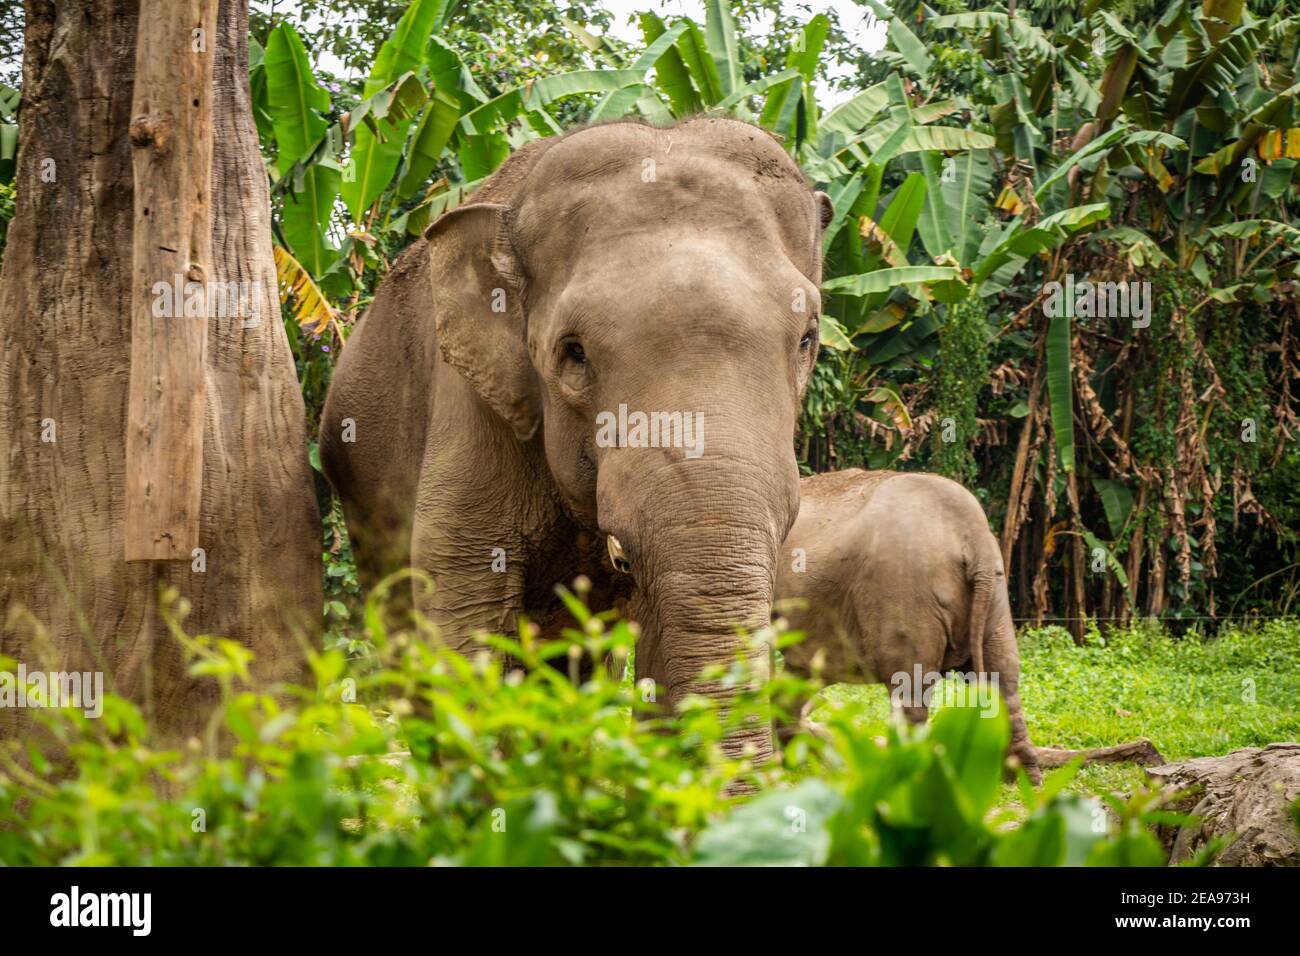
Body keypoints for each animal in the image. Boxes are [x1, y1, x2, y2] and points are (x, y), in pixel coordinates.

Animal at [776, 469, 1042, 783]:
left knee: (910, 687)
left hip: (905, 594)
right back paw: (1026, 780)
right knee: (1003, 677)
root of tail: (974, 539)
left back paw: (898, 777)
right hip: (994, 600)